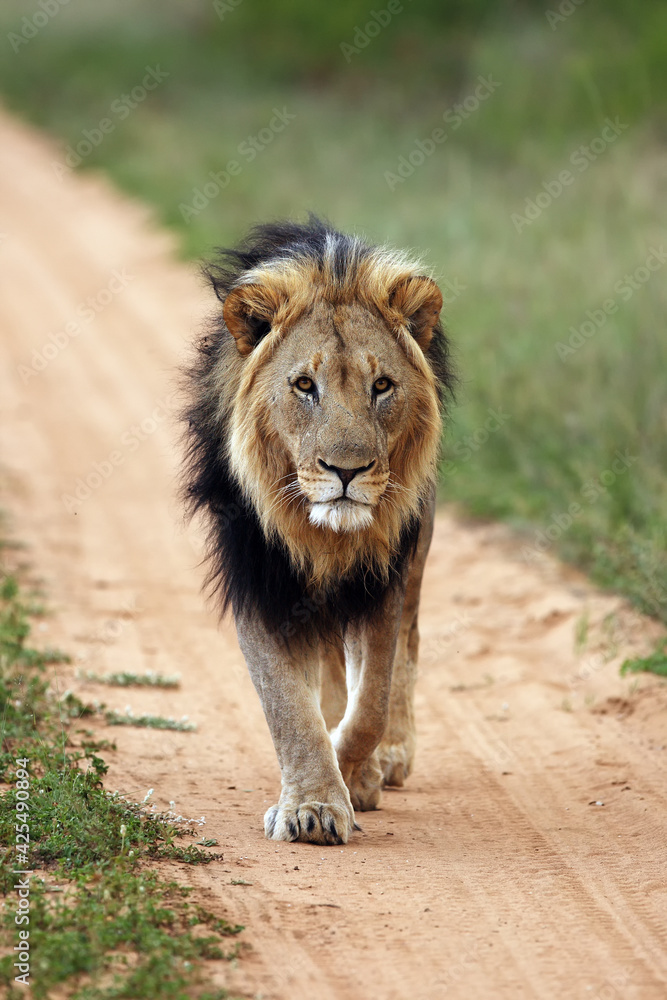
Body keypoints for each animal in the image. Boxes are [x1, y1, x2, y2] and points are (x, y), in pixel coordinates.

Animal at [183, 217, 453, 845]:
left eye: (382, 386)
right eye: (305, 385)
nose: (347, 471)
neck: (326, 537)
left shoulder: (381, 582)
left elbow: (371, 703)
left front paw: (353, 776)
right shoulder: (261, 581)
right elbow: (287, 706)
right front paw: (312, 806)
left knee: (407, 650)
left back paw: (389, 758)